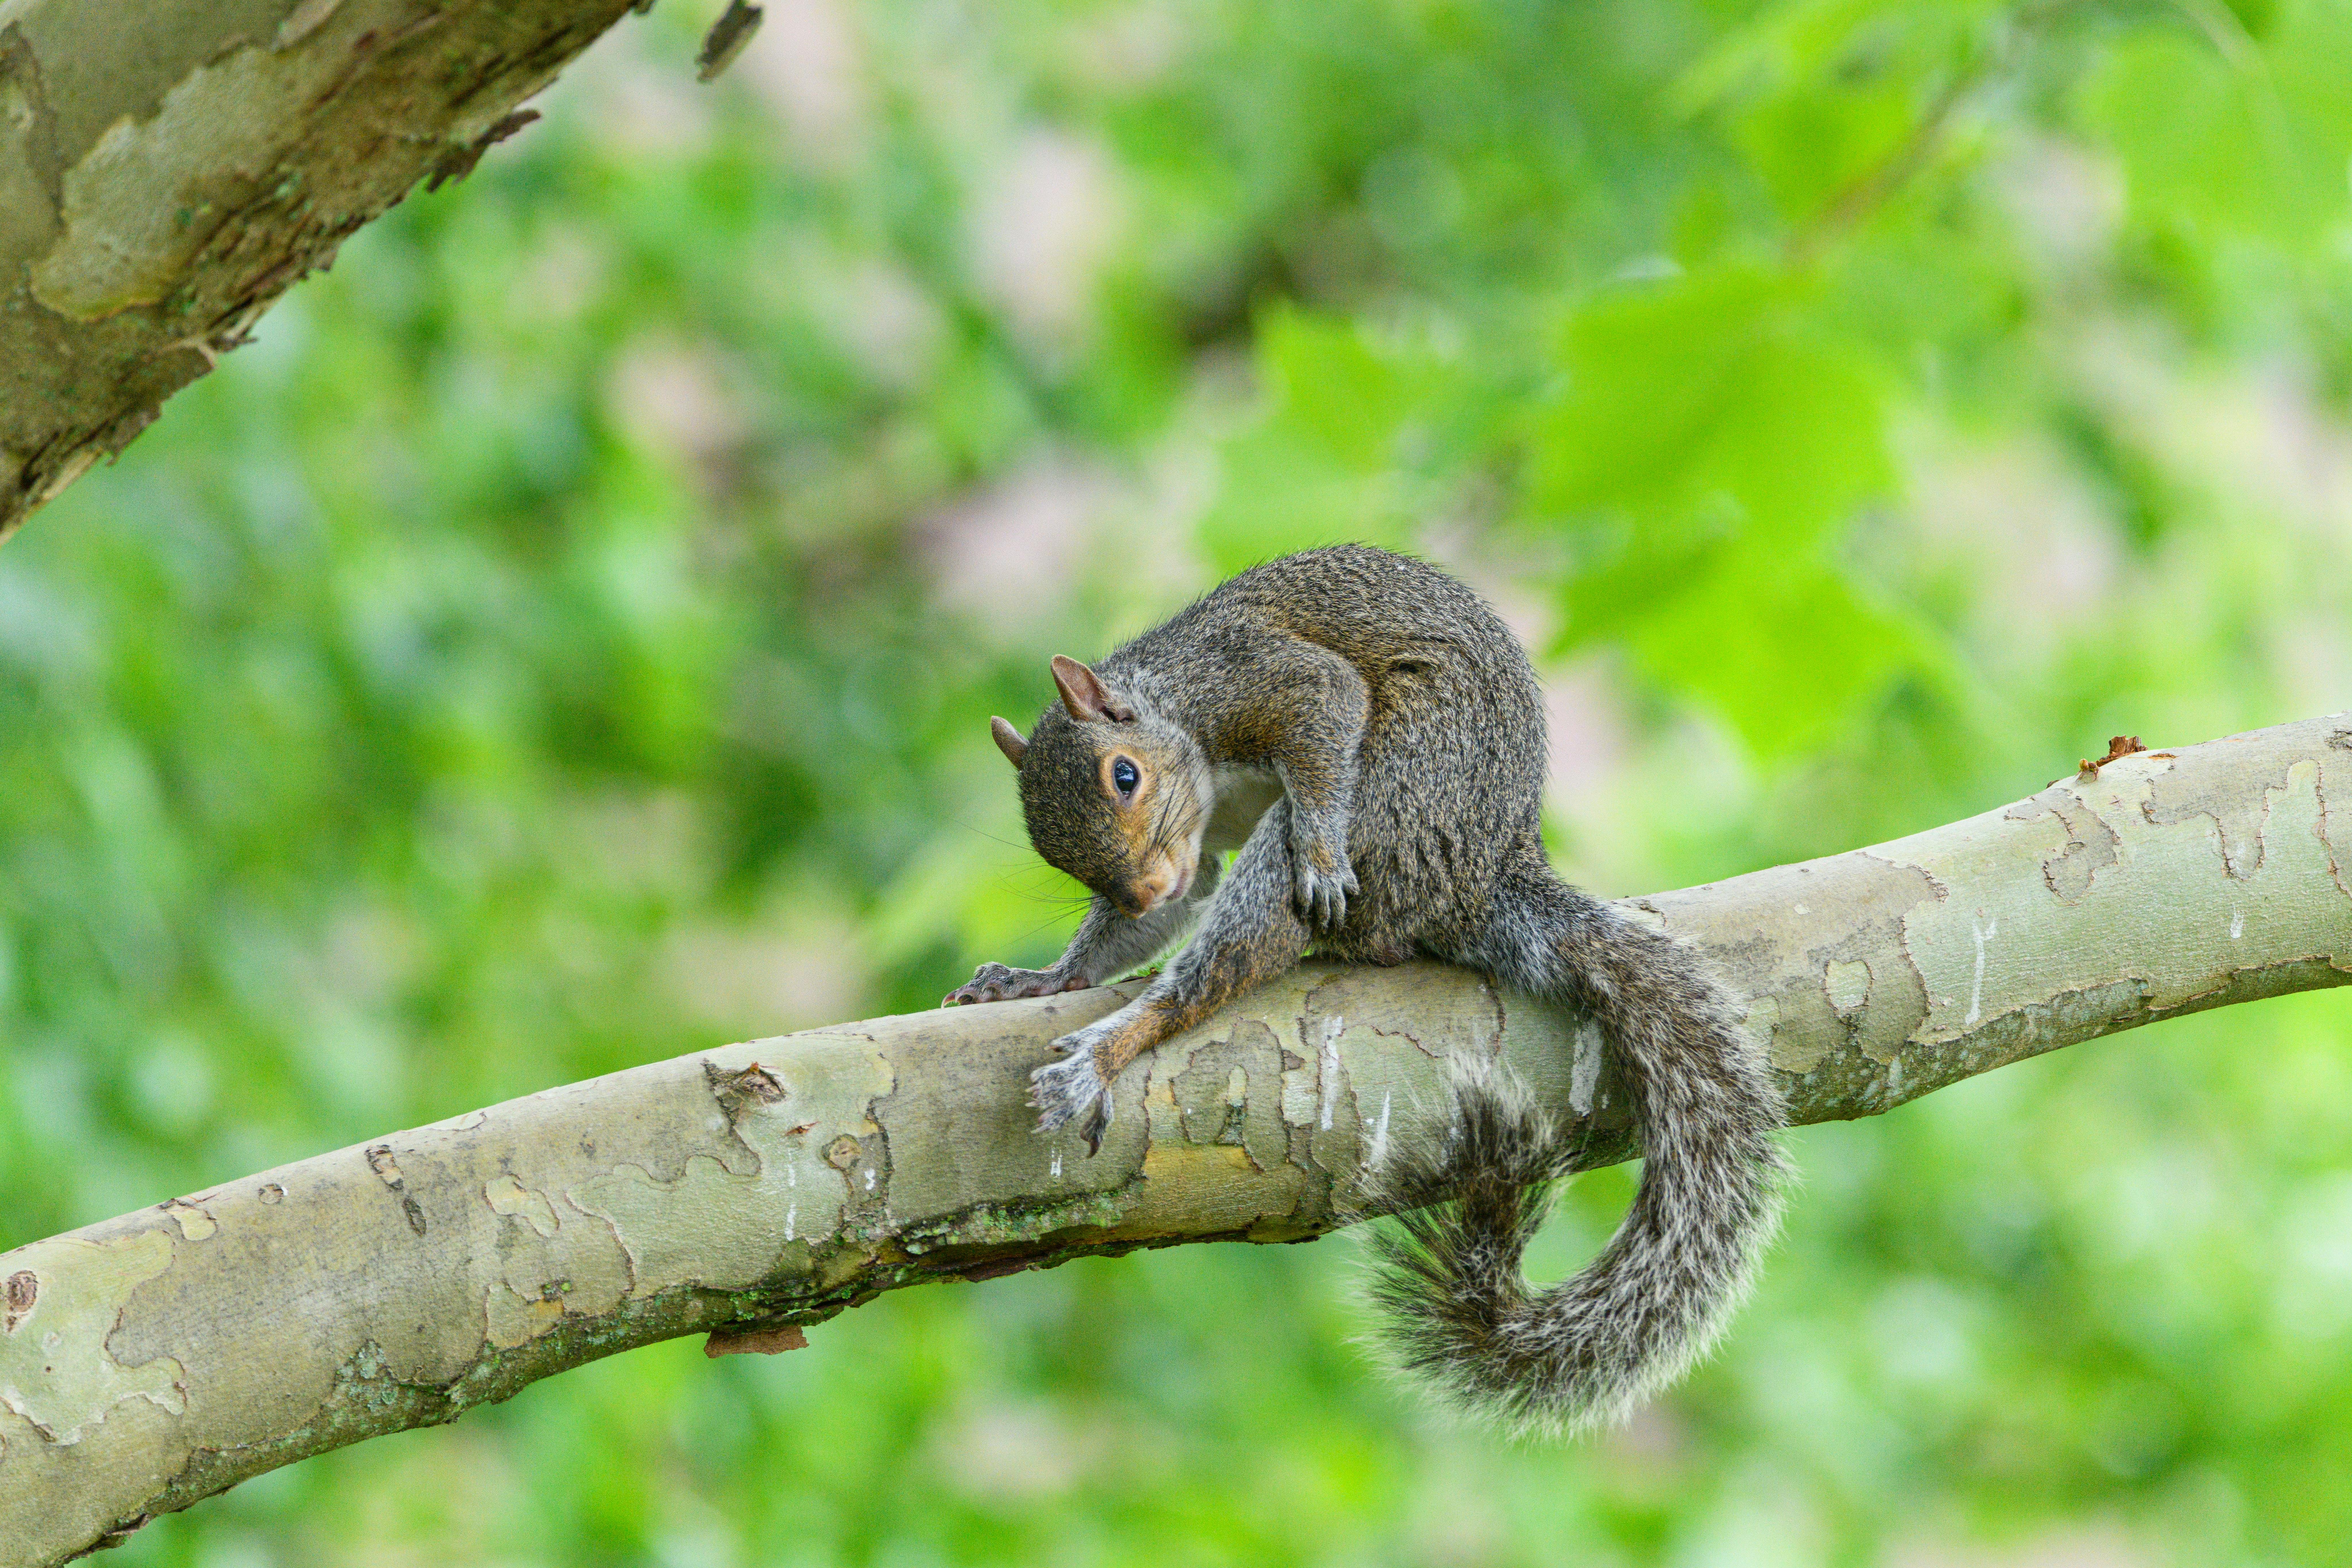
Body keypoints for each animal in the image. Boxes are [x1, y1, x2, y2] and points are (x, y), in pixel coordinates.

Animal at [943, 544, 1788, 1435]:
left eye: (1126, 775)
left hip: (1398, 791)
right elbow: (1170, 900)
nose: (1137, 892)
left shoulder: (1250, 675)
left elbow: (1326, 700)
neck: (1174, 704)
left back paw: (1116, 1045)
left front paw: (1318, 844)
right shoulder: (1193, 851)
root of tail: (1479, 882)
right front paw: (1046, 975)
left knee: (1250, 939)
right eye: (1052, 850)